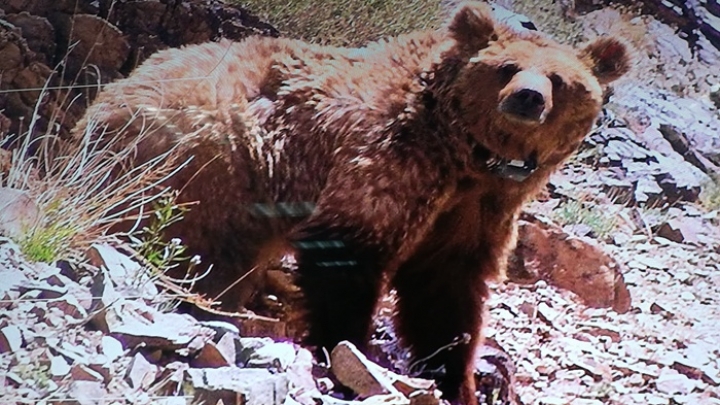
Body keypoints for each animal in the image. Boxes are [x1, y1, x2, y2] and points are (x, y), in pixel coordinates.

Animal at [73, 3, 630, 404]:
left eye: (560, 80)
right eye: (506, 67)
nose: (528, 98)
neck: (464, 154)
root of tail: (101, 101)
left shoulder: (477, 208)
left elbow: (447, 289)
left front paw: (458, 376)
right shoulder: (386, 157)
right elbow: (350, 249)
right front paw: (349, 351)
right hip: (208, 157)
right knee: (201, 244)